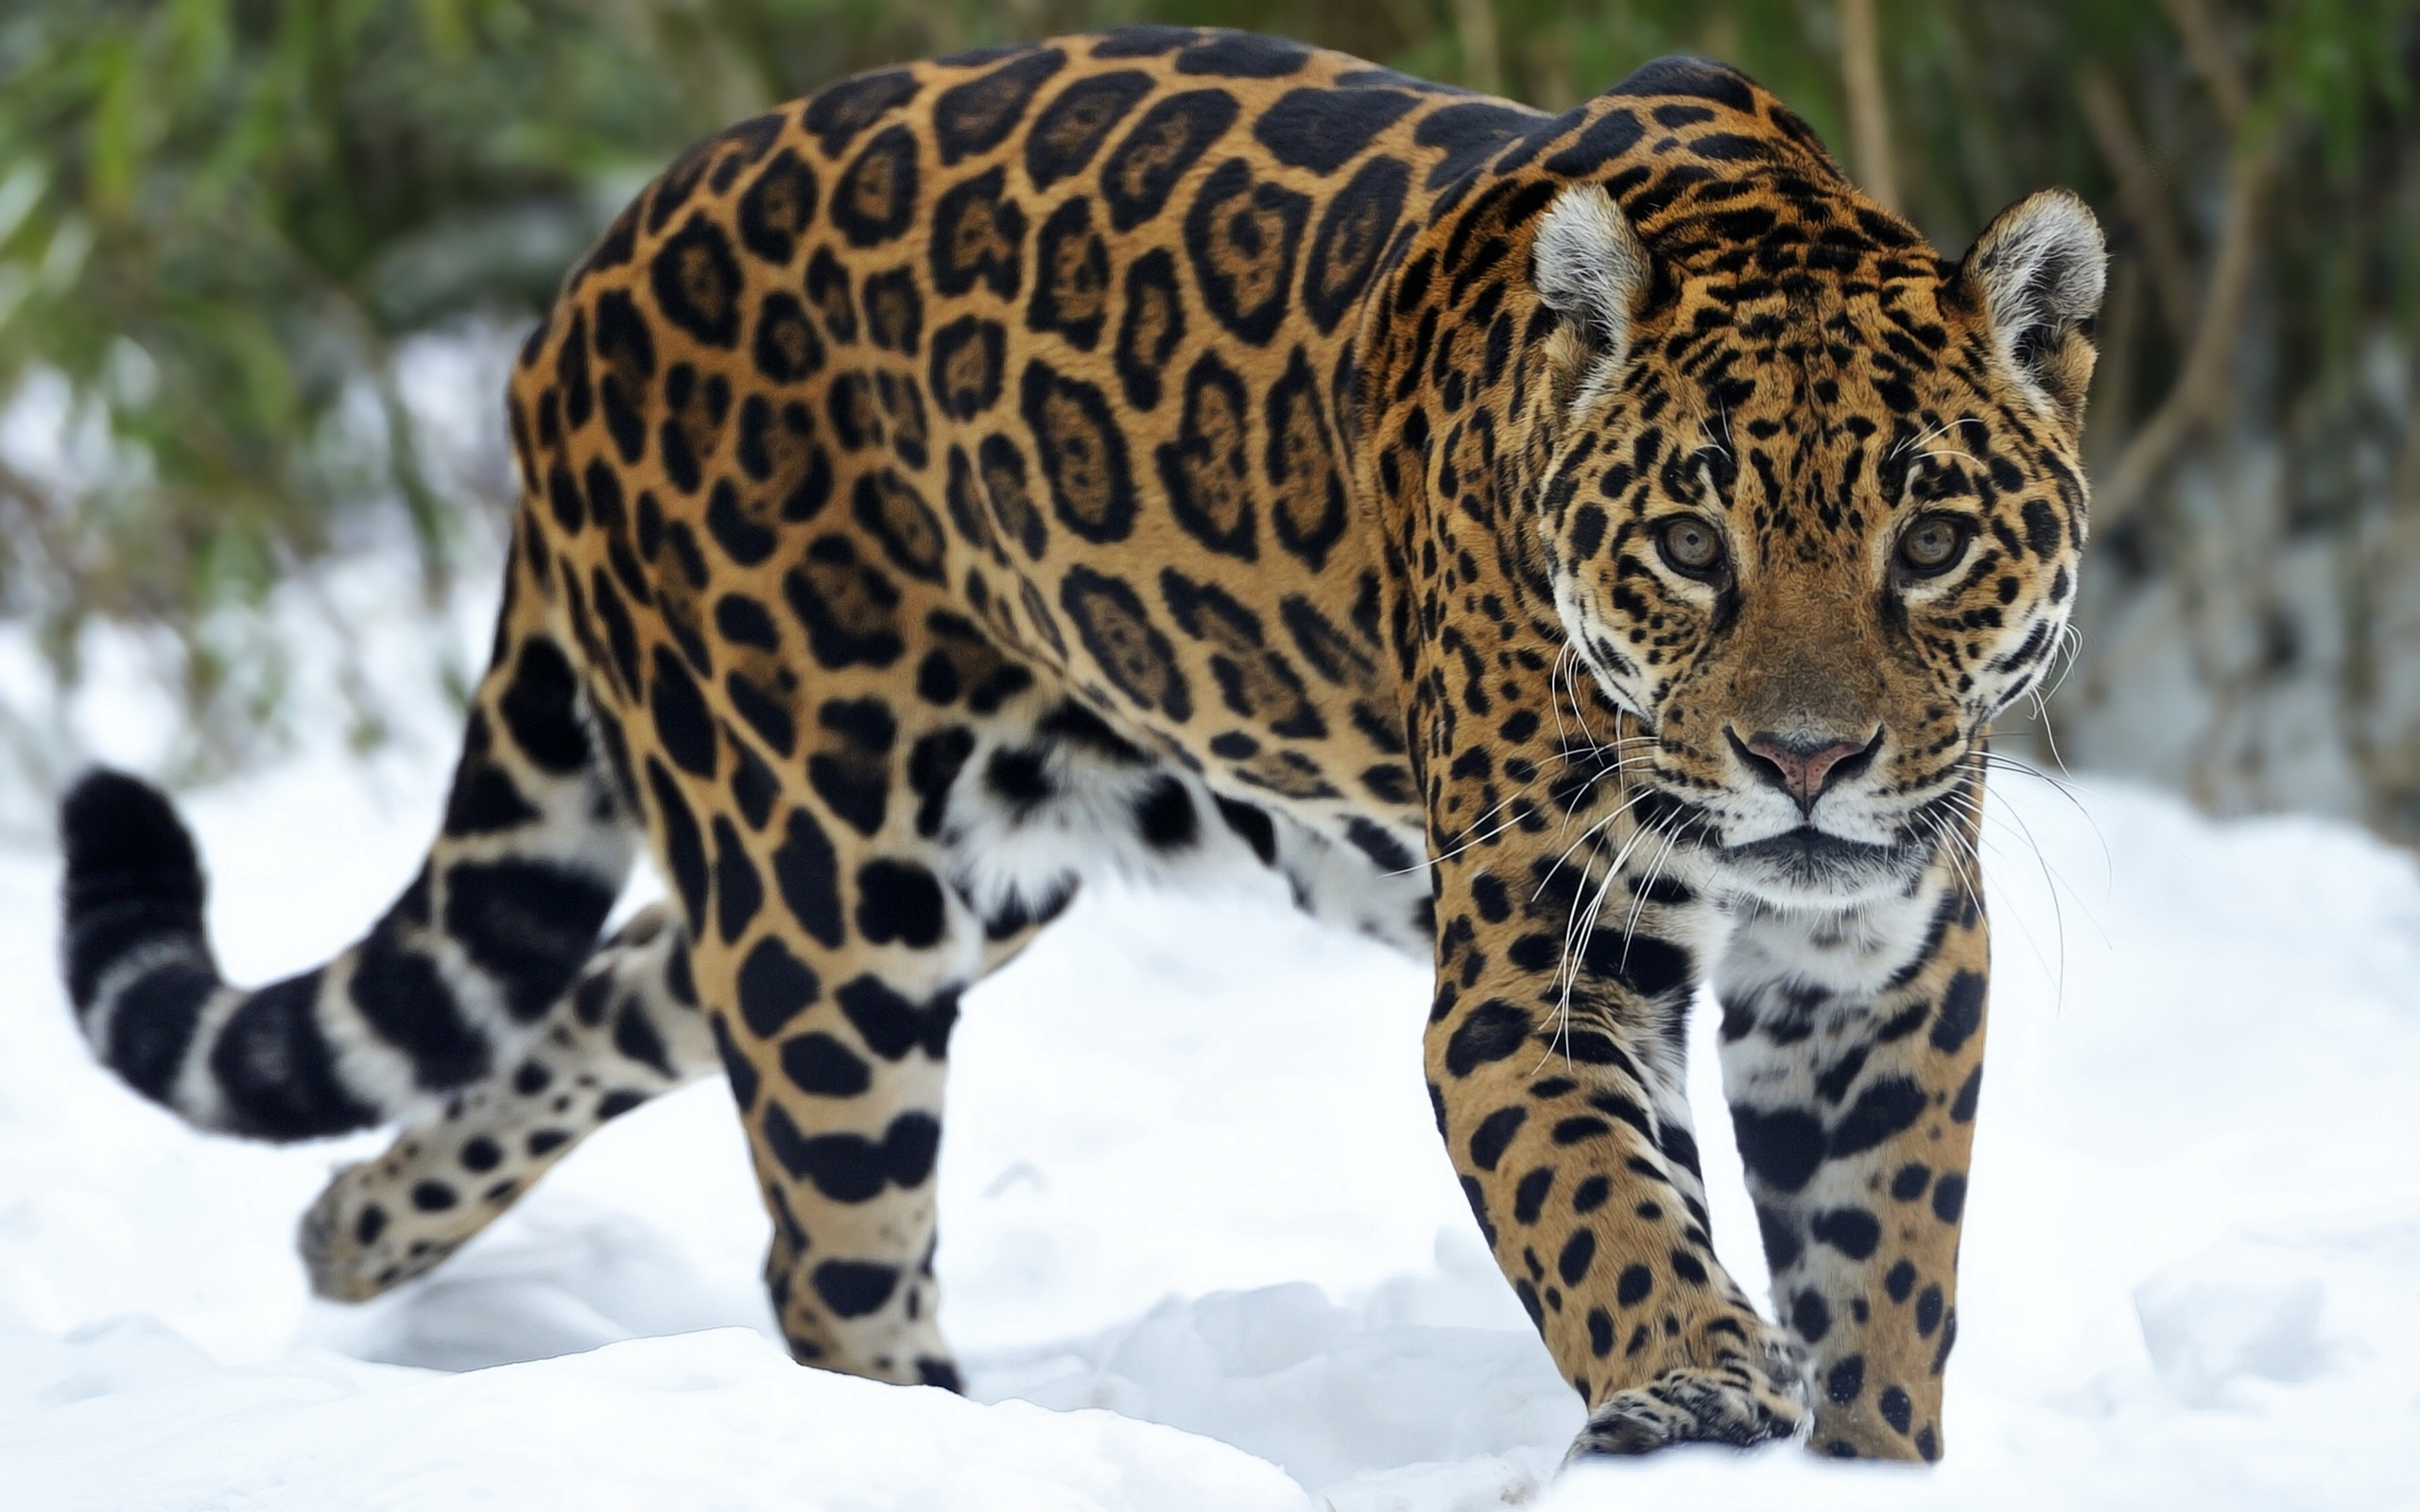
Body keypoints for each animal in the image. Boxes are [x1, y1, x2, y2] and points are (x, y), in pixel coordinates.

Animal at [56, 27, 2104, 1465]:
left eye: (1929, 540)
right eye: (1689, 543)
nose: (1806, 763)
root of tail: (589, 273)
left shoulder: (1876, 969)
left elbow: (1884, 1276)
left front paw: (1856, 1445)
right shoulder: (1545, 969)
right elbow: (1601, 1205)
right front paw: (1690, 1381)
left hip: (944, 871)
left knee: (607, 989)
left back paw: (352, 1230)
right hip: (830, 890)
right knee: (833, 1259)